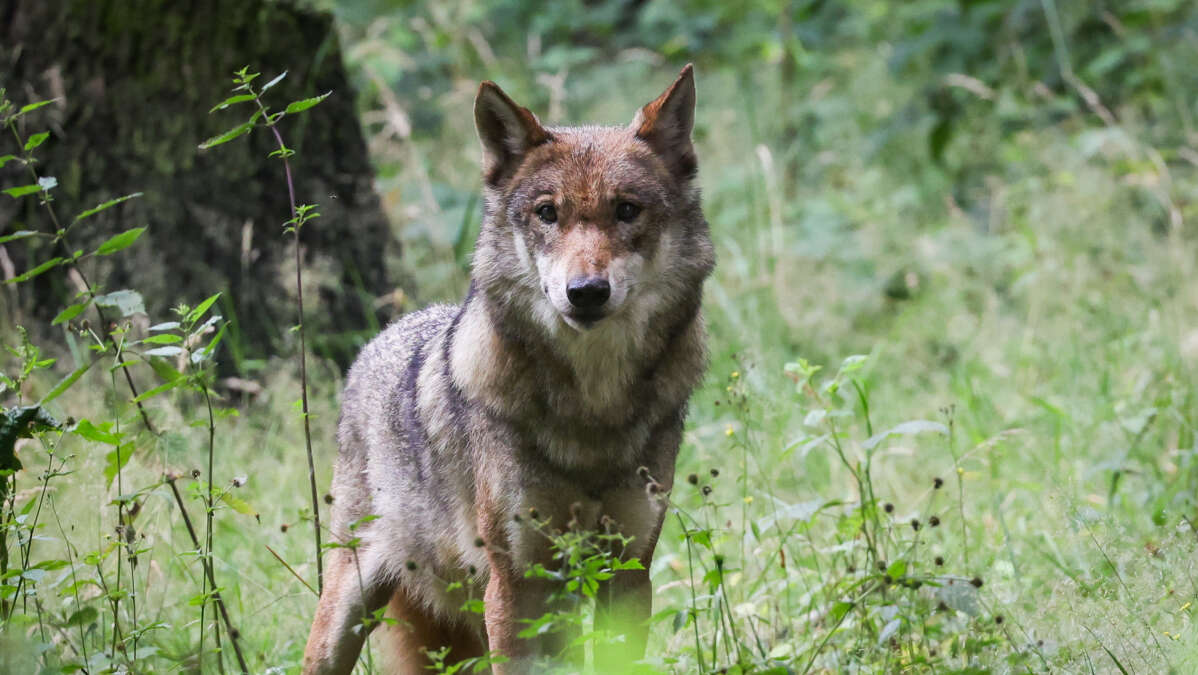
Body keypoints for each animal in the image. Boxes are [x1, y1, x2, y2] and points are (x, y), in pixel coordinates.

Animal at [302, 64, 714, 674]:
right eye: (547, 213)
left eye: (626, 210)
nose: (586, 292)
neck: (593, 410)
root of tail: (379, 339)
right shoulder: (517, 584)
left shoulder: (626, 572)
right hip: (347, 615)